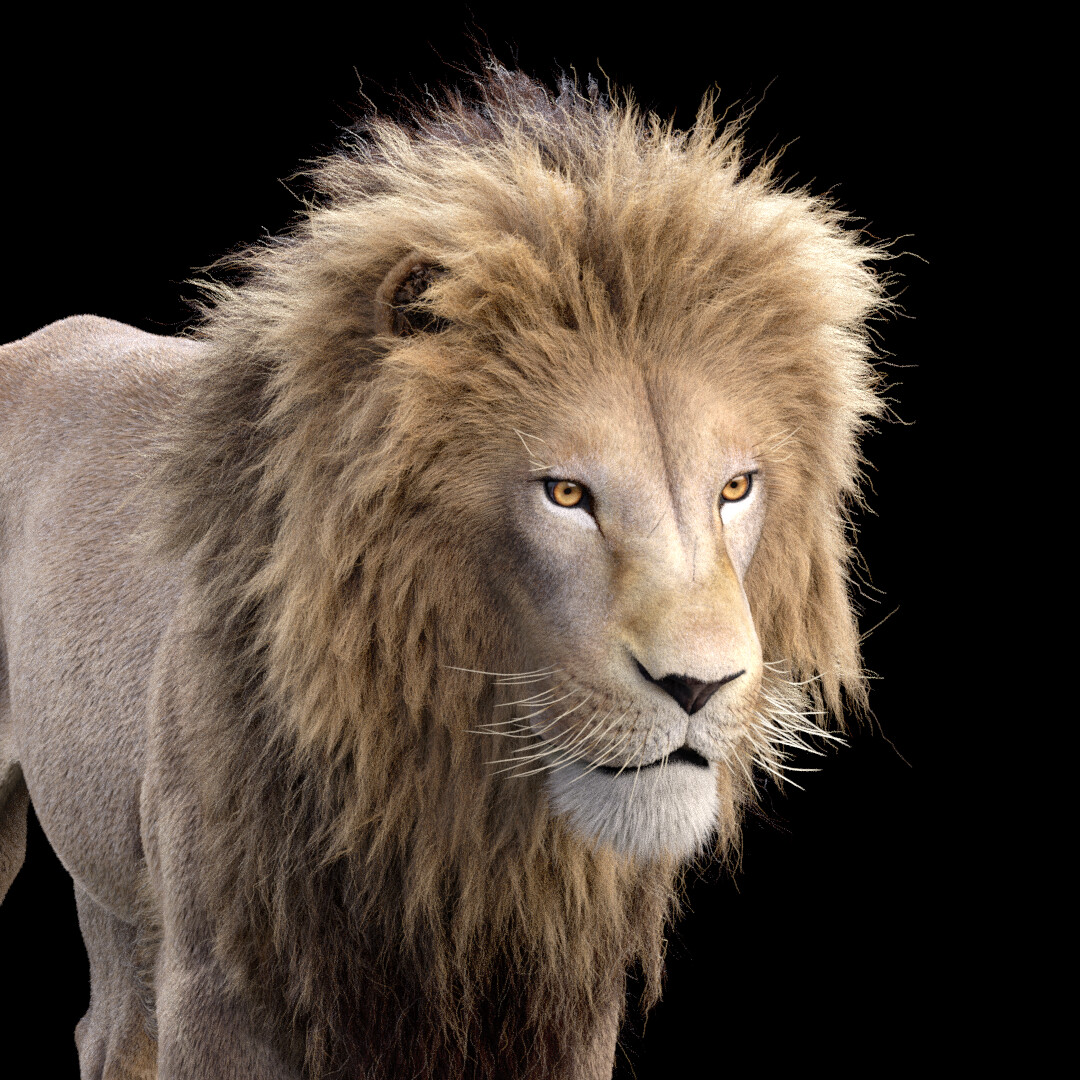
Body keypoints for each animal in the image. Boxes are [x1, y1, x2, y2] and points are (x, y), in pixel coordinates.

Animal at [0, 64, 890, 1078]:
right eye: (566, 493)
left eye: (735, 488)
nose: (700, 687)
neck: (457, 799)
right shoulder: (222, 983)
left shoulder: (562, 1006)